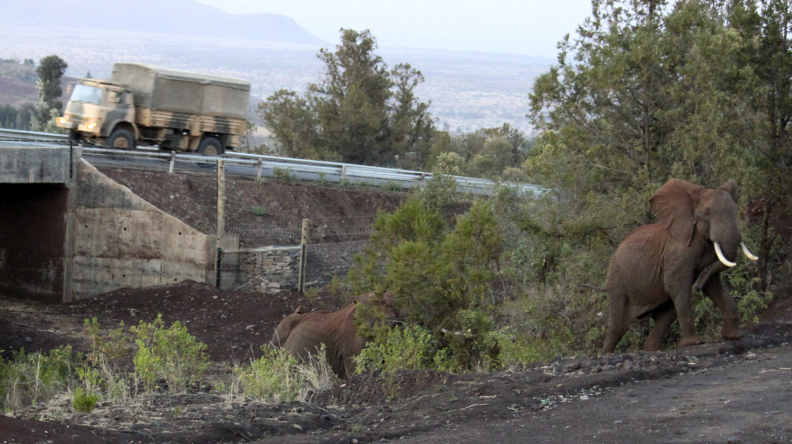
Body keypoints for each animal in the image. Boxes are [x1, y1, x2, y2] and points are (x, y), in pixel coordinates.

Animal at [602, 178, 758, 354]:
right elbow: (677, 285)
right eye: (707, 214)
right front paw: (693, 344)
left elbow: (713, 286)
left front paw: (733, 337)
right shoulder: (676, 253)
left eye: (736, 210)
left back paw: (653, 349)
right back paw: (606, 354)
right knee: (618, 325)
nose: (697, 287)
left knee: (667, 314)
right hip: (618, 282)